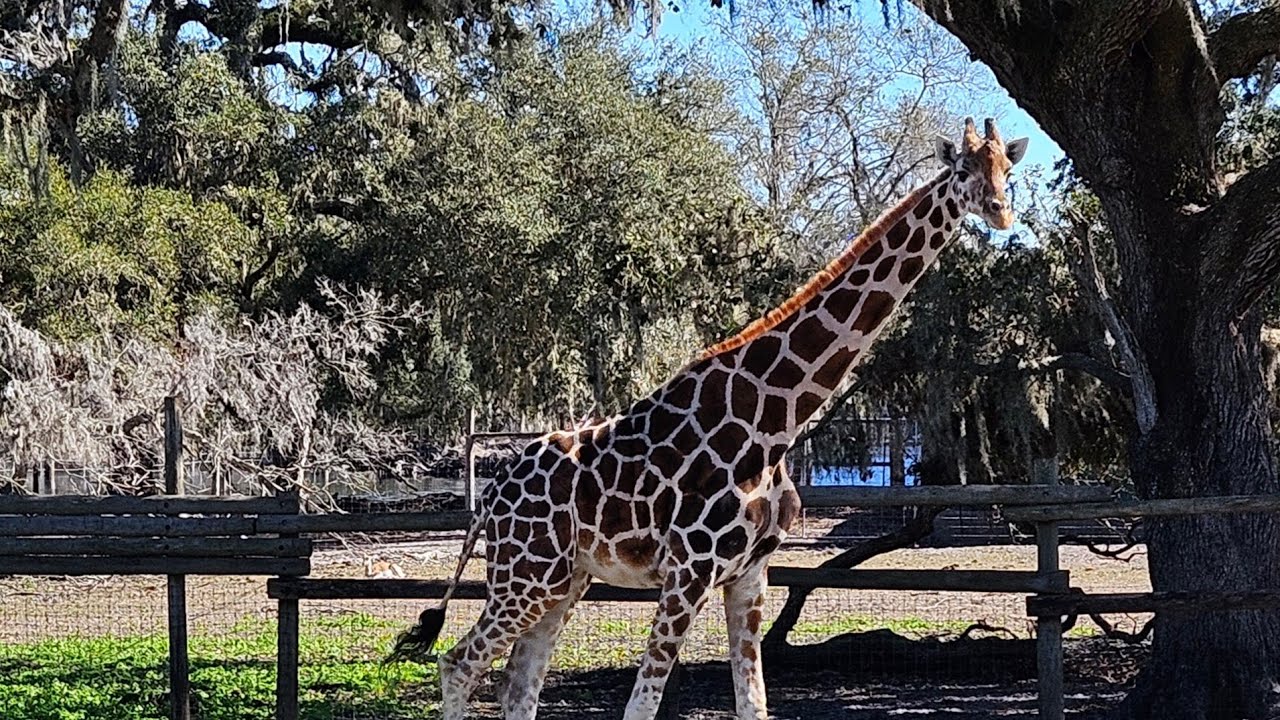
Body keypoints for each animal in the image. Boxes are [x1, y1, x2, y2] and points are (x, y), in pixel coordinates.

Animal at [391, 117, 1028, 720]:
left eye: (1007, 171)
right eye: (963, 171)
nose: (1001, 212)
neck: (774, 420)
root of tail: (492, 496)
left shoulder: (750, 574)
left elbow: (754, 703)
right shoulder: (689, 572)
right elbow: (642, 703)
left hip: (563, 581)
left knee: (519, 683)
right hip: (526, 574)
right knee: (458, 663)